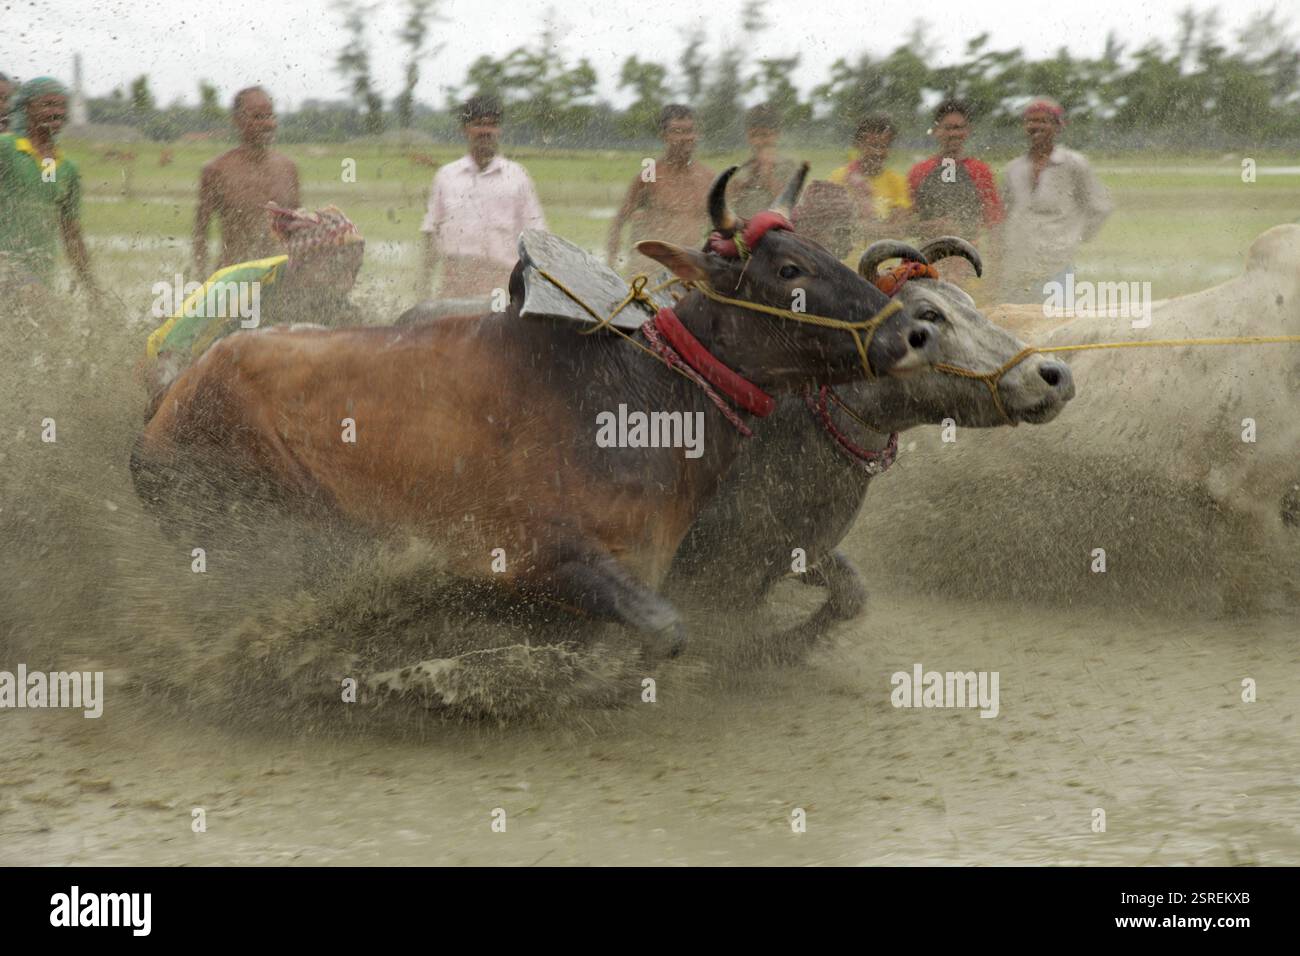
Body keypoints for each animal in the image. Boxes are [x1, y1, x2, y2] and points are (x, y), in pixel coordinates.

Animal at [130, 165, 940, 658]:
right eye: (790, 269)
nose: (909, 331)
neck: (643, 398)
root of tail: (164, 404)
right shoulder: (550, 562)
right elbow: (666, 632)